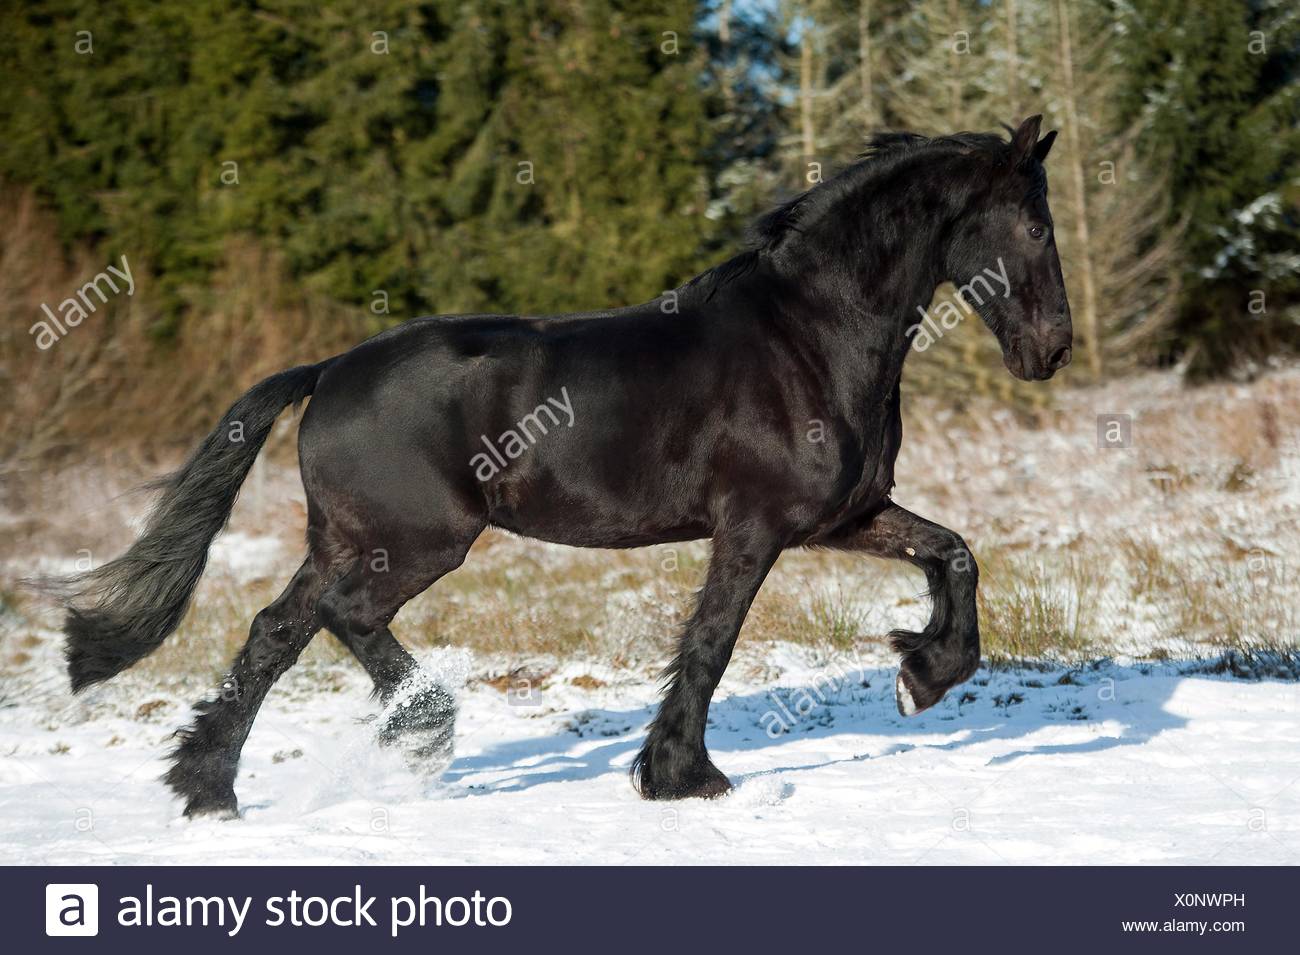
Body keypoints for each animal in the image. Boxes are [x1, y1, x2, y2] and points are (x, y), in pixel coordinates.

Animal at [56, 115, 1071, 818]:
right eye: (1031, 225)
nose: (1052, 349)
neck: (809, 334)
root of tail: (329, 370)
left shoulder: (843, 517)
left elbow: (954, 552)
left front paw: (922, 675)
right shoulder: (755, 527)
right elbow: (711, 641)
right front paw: (684, 776)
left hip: (352, 537)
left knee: (277, 630)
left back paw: (209, 790)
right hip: (417, 541)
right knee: (342, 618)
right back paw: (423, 729)